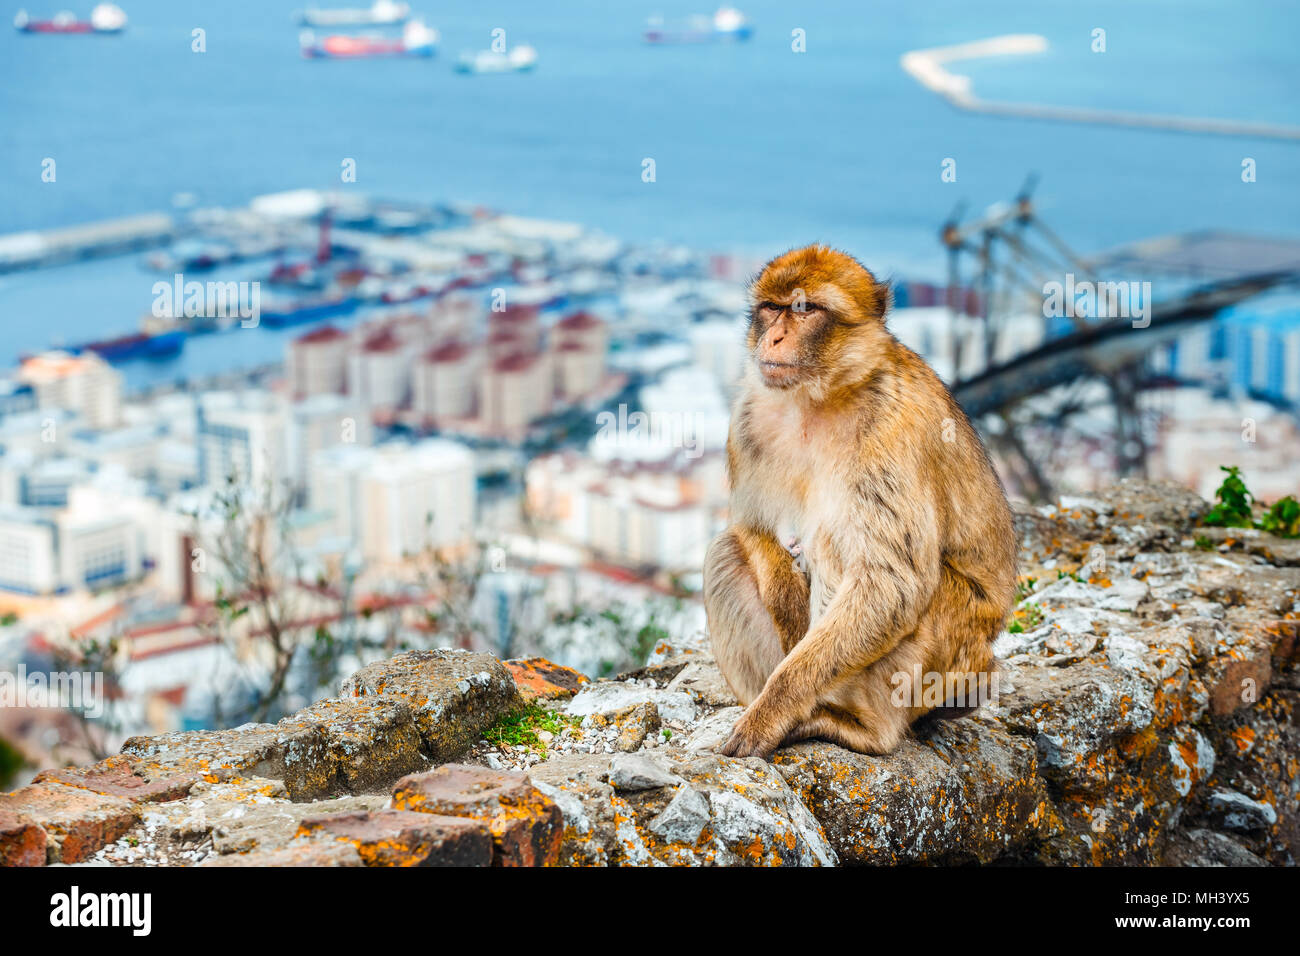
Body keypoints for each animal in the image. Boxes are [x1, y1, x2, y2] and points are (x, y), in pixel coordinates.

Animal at [702, 244, 1017, 759]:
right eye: (771, 308)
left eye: (806, 310)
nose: (773, 337)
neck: (820, 396)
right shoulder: (747, 418)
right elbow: (751, 525)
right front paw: (787, 601)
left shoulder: (893, 428)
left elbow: (891, 585)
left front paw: (771, 711)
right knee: (726, 551)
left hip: (951, 653)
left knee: (842, 544)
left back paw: (860, 728)